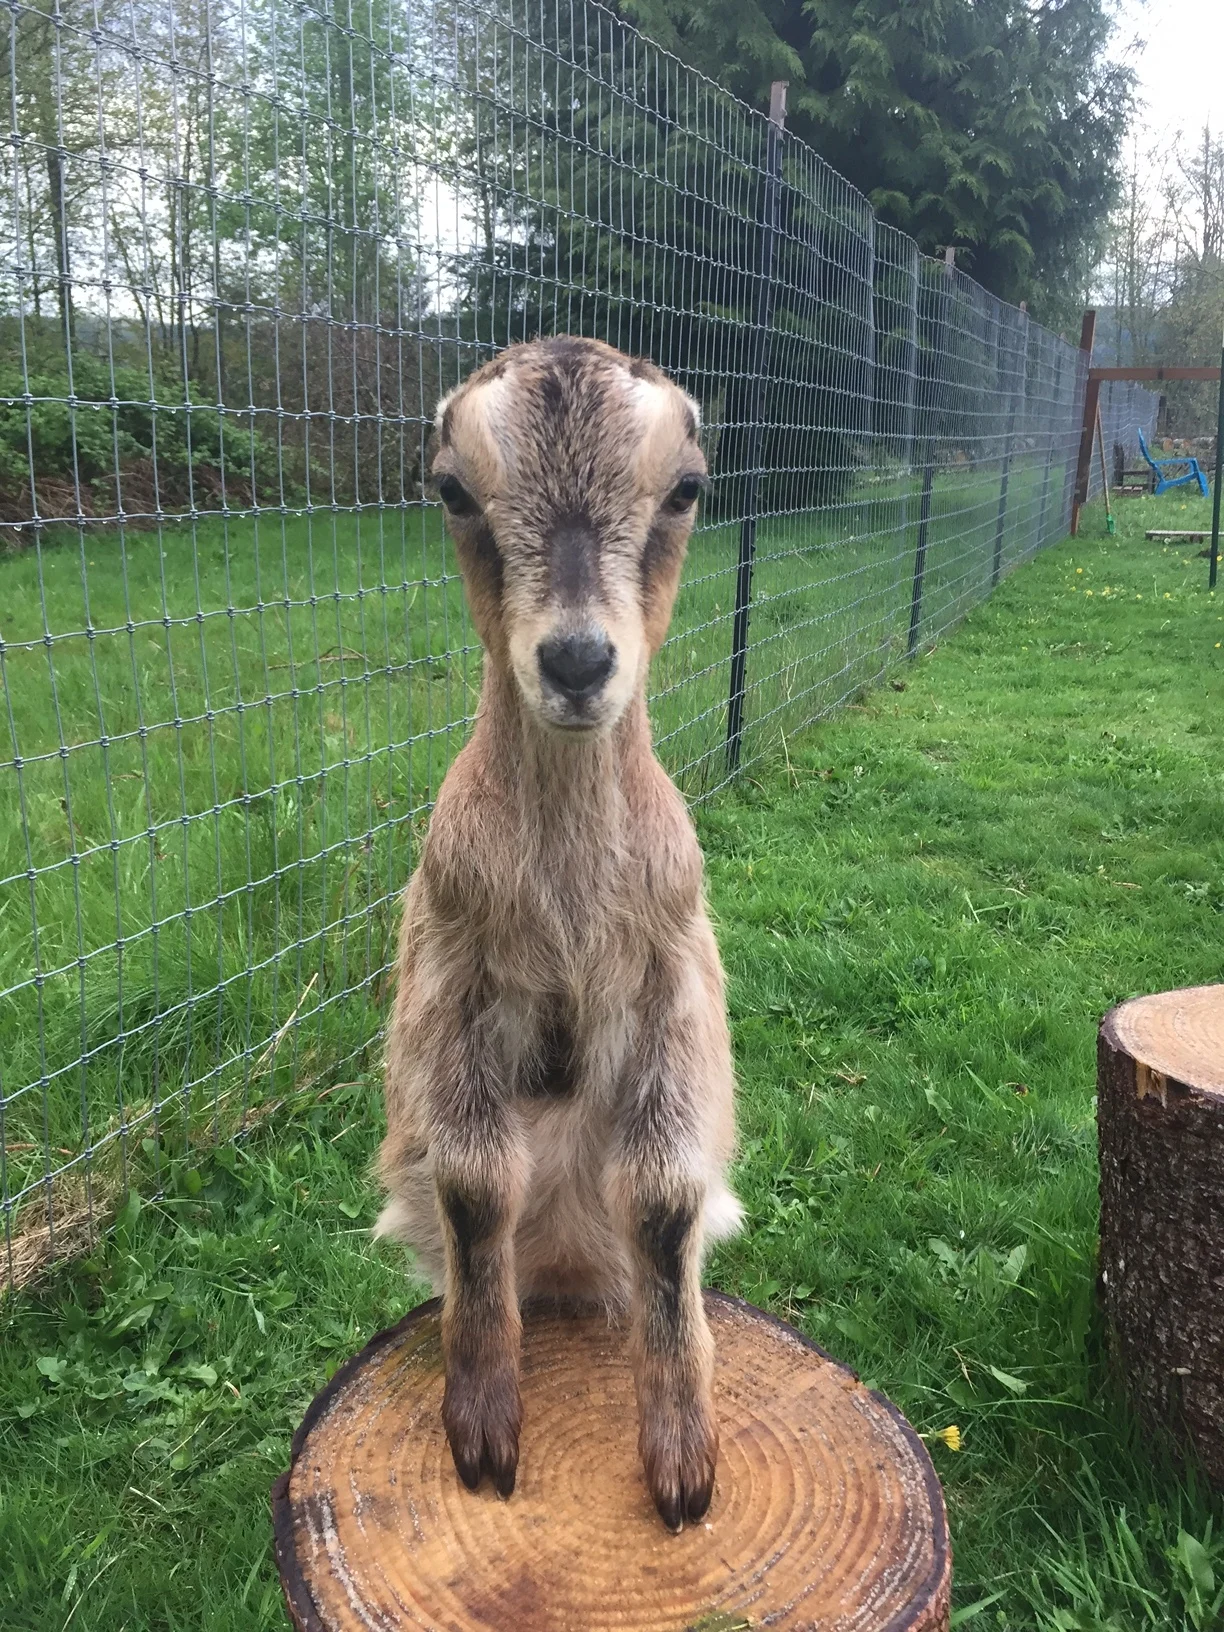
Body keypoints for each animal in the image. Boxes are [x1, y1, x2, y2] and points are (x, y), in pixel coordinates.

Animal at [376, 336, 742, 1531]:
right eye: (452, 490)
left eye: (687, 488)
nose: (578, 663)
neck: (568, 902)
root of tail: (571, 1273)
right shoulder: (449, 975)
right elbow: (475, 1187)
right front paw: (485, 1429)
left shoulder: (674, 977)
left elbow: (667, 1204)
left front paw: (683, 1463)